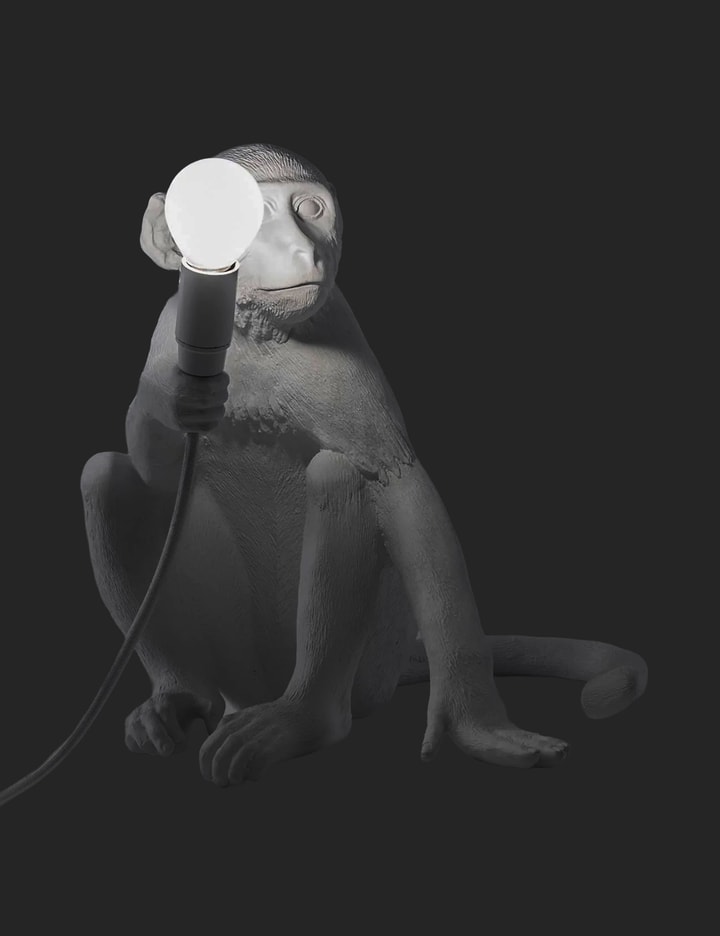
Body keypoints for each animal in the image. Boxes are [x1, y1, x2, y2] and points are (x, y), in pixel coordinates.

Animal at [80, 143, 647, 787]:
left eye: (310, 209)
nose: (302, 250)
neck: (254, 335)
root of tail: (249, 694)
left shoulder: (340, 351)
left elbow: (398, 484)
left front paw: (475, 720)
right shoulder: (166, 331)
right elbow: (153, 469)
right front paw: (182, 403)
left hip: (373, 661)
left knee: (337, 475)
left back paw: (302, 718)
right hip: (235, 653)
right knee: (105, 478)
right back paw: (176, 697)